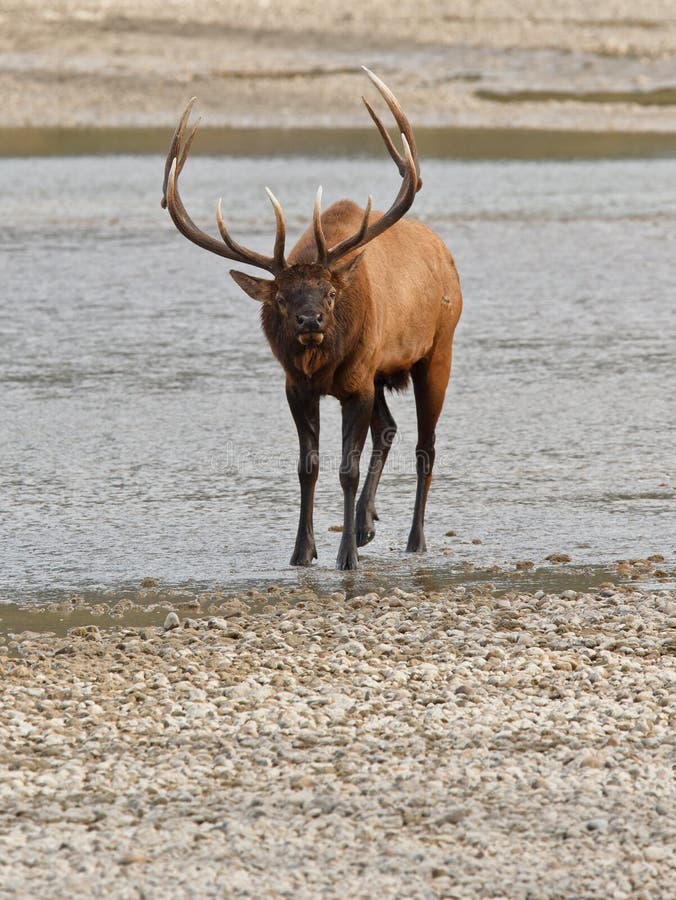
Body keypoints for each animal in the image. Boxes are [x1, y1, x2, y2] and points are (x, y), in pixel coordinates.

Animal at [161, 67, 462, 570]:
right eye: (282, 298)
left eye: (330, 292)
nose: (310, 322)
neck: (322, 365)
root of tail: (444, 252)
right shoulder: (298, 386)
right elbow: (308, 467)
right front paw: (304, 551)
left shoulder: (357, 383)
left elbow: (346, 469)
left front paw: (346, 558)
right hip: (381, 371)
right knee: (389, 429)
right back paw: (365, 524)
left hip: (438, 350)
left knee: (427, 446)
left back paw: (414, 540)